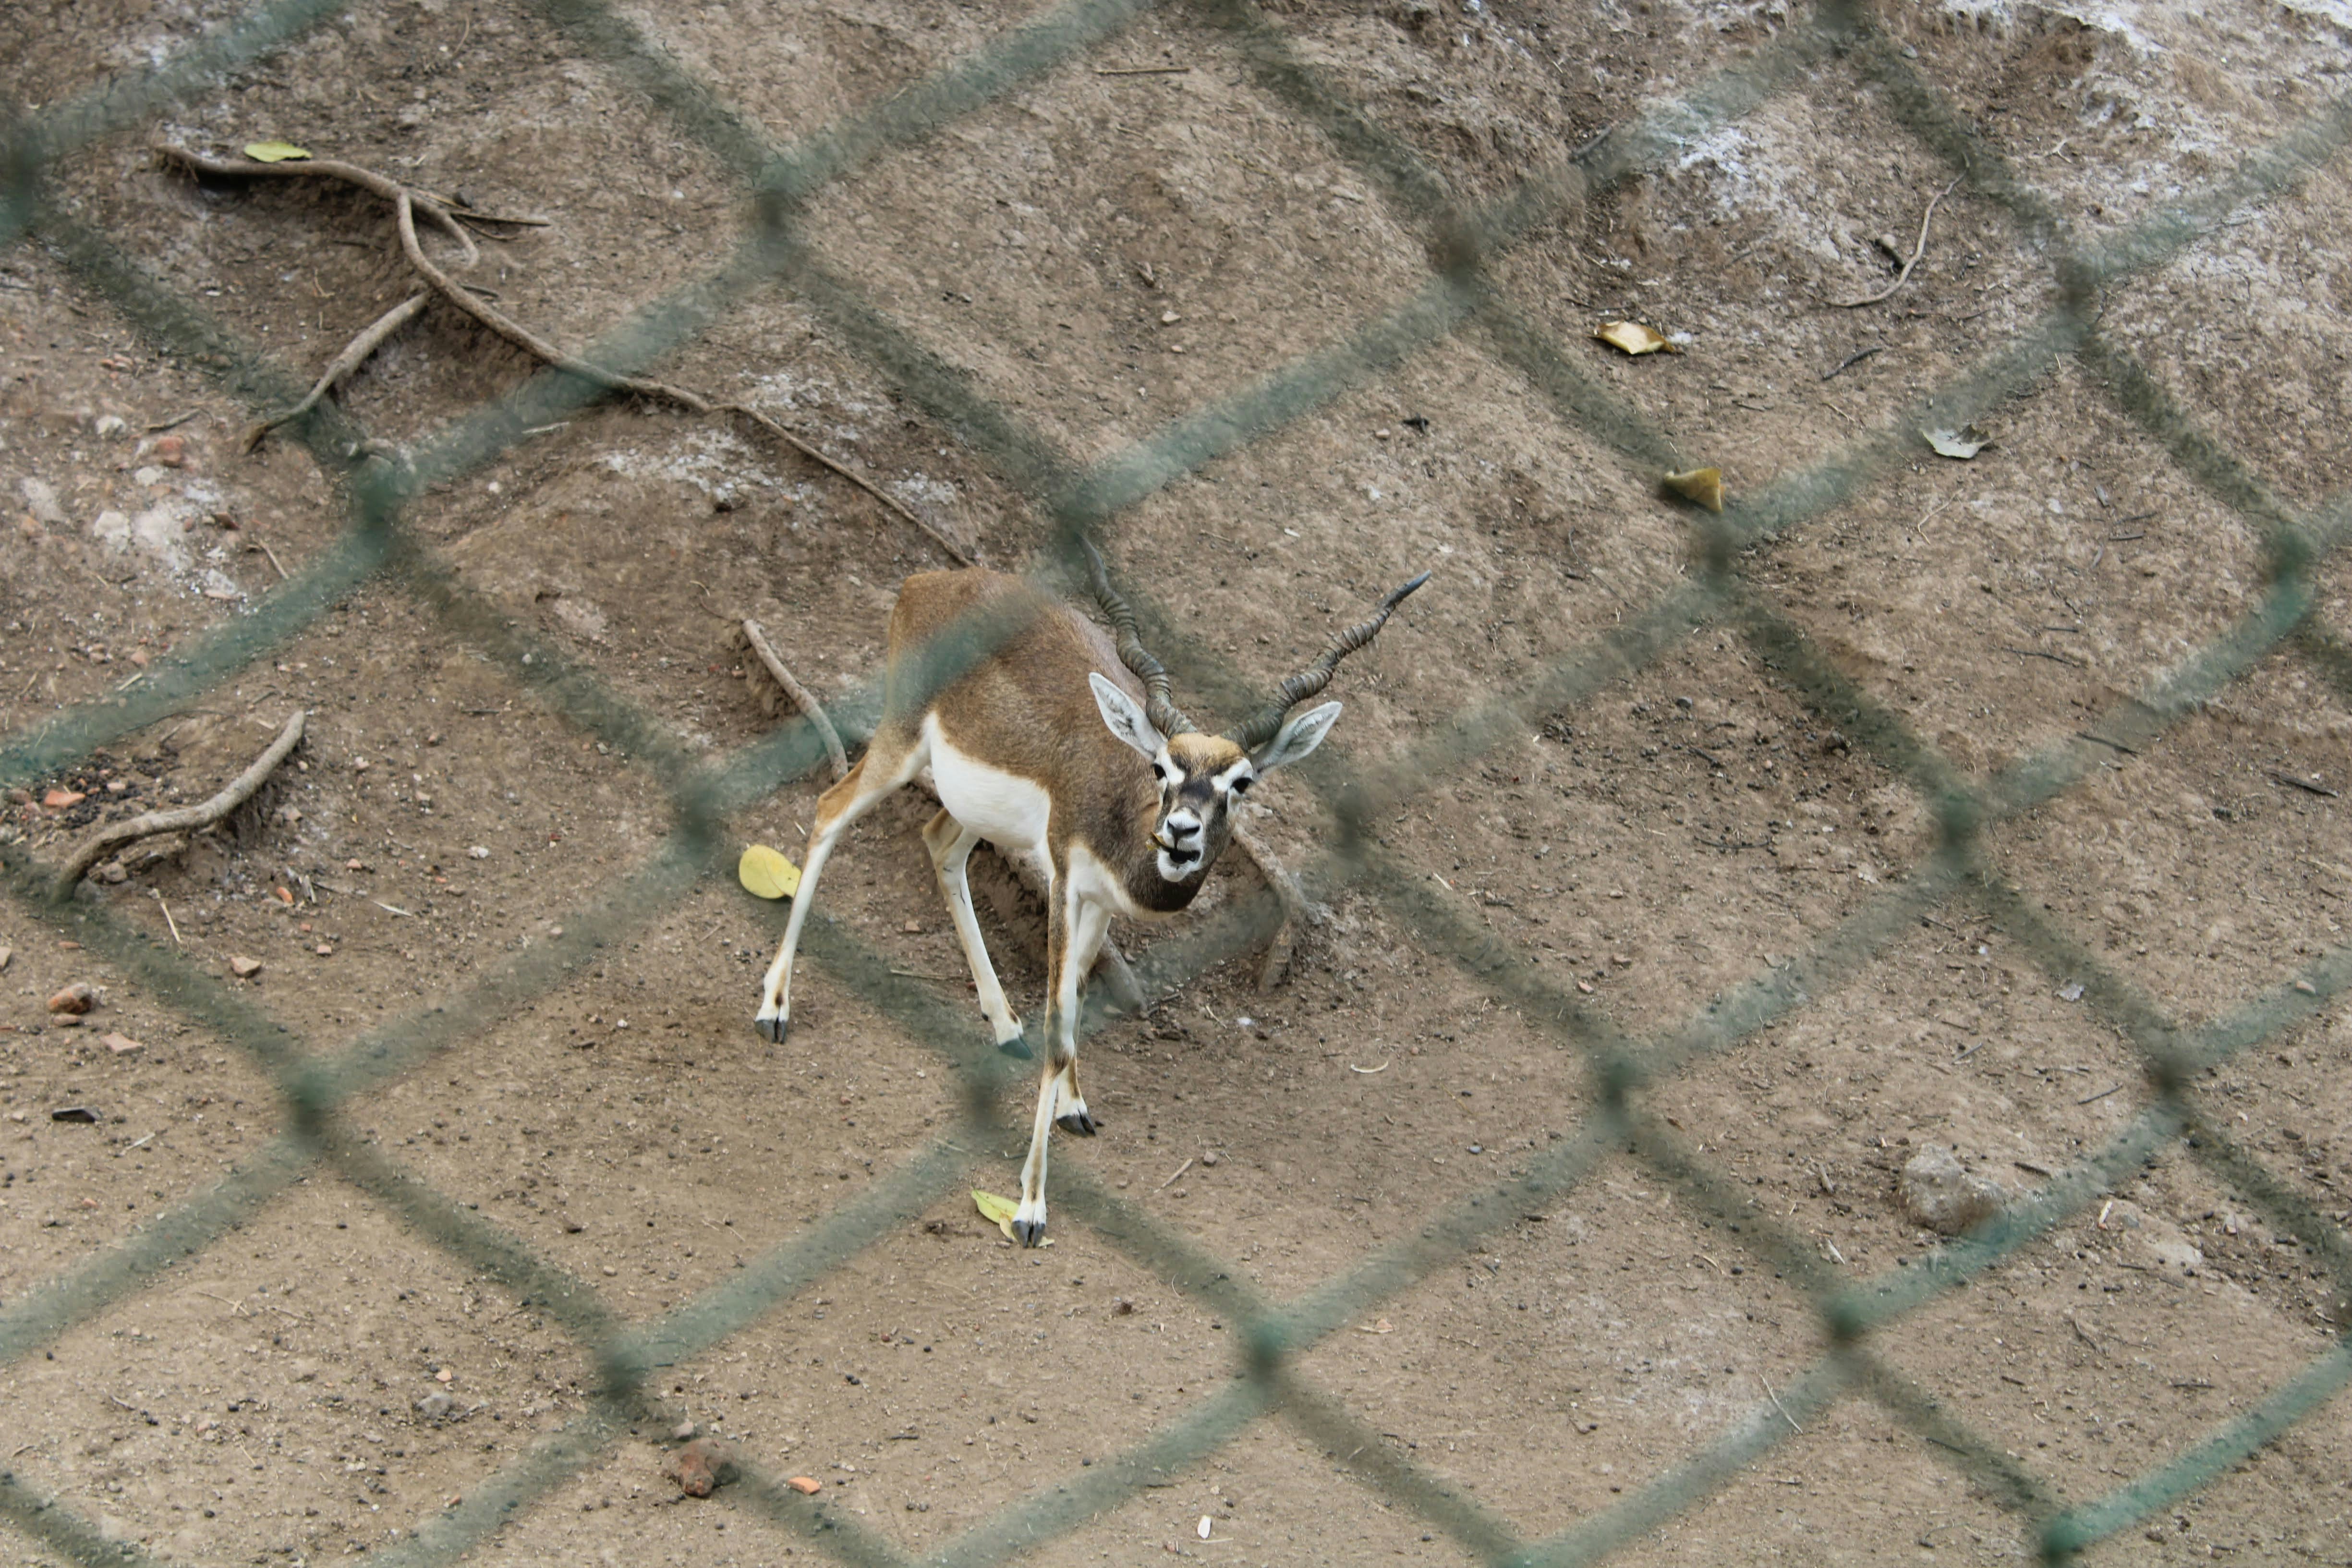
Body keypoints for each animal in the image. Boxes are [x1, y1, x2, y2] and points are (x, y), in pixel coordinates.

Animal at [755, 542, 1427, 1245]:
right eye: (1161, 769)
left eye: (1240, 783)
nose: (1180, 832)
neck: (1121, 810)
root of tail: (927, 581)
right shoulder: (1062, 882)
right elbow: (1059, 1025)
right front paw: (1029, 1207)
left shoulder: (1102, 902)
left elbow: (1075, 1004)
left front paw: (1071, 1105)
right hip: (899, 745)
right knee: (829, 811)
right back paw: (774, 1008)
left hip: (971, 808)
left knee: (939, 844)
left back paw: (1003, 1026)